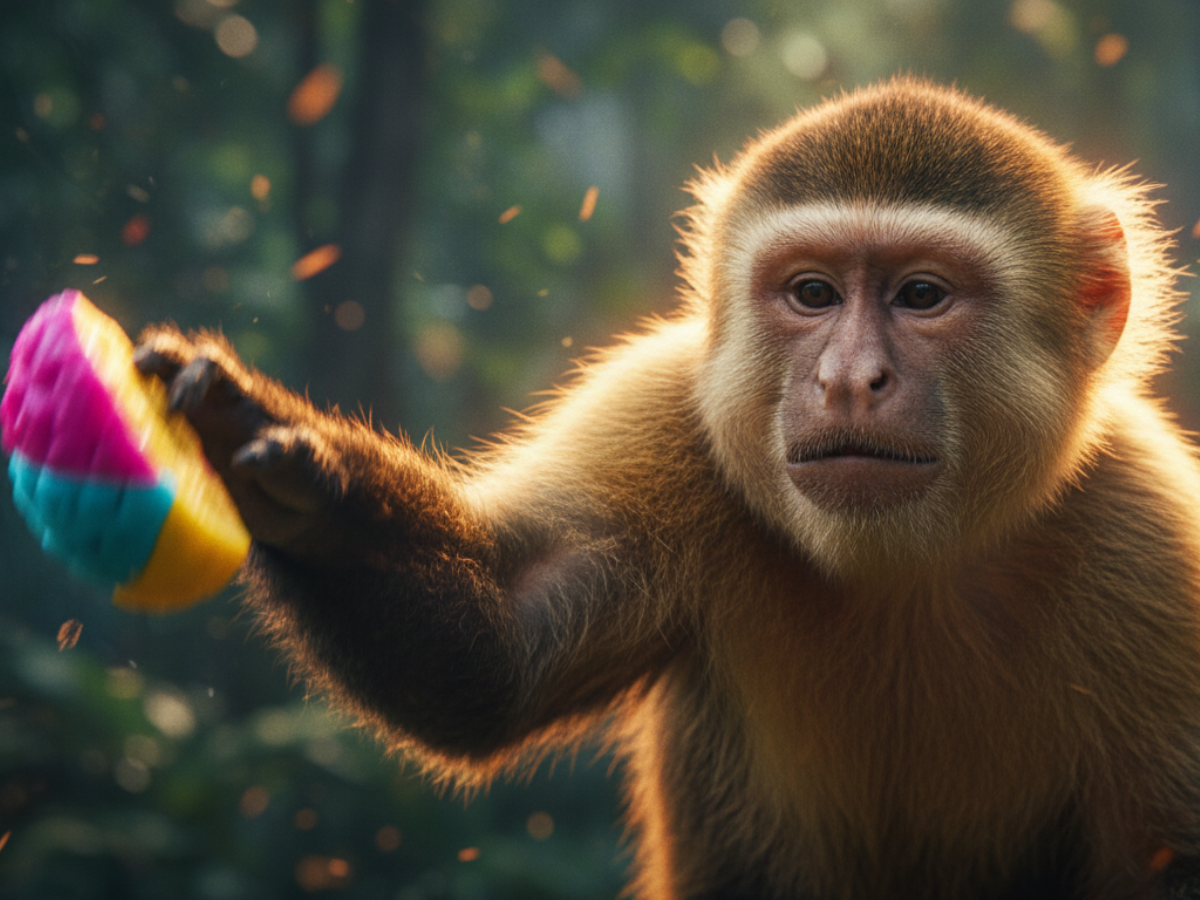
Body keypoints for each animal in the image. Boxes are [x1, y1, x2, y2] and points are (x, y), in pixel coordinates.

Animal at [131, 77, 1200, 899]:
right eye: (813, 294)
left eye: (922, 296)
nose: (847, 378)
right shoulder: (673, 413)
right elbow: (492, 653)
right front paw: (275, 459)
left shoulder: (1154, 544)